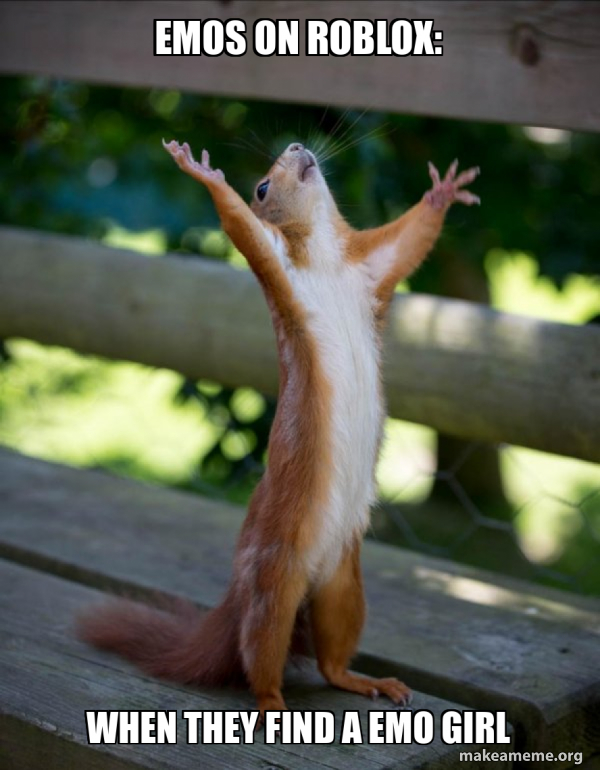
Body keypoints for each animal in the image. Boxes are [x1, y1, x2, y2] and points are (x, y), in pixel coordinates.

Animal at [78, 138, 479, 717]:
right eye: (262, 187)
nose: (296, 146)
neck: (327, 258)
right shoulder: (276, 264)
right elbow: (240, 225)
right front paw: (204, 174)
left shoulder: (371, 267)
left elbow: (410, 240)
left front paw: (443, 192)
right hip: (274, 584)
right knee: (259, 655)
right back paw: (273, 704)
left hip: (343, 586)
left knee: (331, 659)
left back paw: (365, 680)